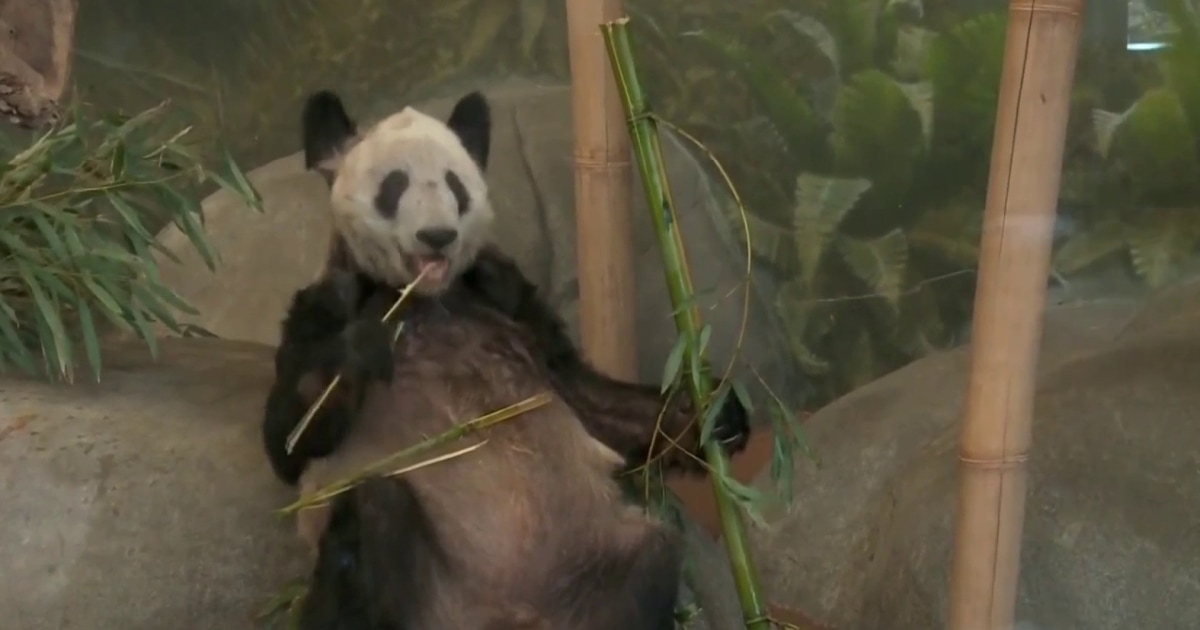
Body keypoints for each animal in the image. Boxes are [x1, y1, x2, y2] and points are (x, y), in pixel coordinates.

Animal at [261, 88, 752, 629]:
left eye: (456, 186)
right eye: (393, 186)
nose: (438, 236)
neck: (422, 298)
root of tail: (511, 615)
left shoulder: (503, 294)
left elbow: (590, 399)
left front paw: (713, 413)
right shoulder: (325, 305)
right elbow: (290, 440)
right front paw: (364, 349)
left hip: (598, 562)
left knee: (650, 562)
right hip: (427, 589)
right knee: (373, 515)